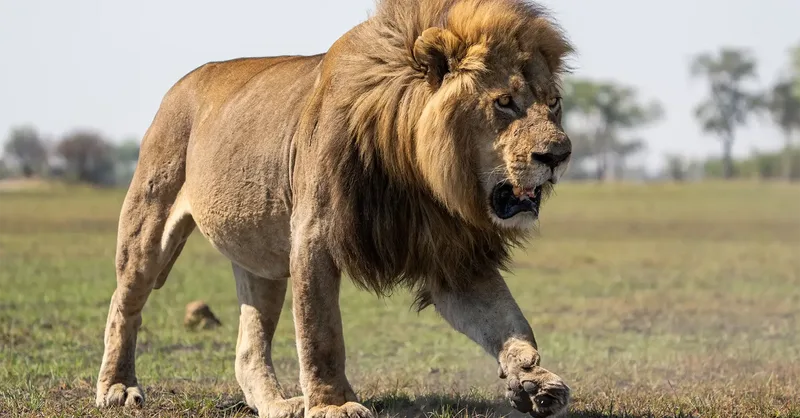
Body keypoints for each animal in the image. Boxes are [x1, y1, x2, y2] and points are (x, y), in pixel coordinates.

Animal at [95, 0, 575, 417]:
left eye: (553, 103)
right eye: (504, 102)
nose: (559, 155)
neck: (417, 172)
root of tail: (181, 83)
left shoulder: (451, 256)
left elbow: (508, 320)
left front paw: (532, 378)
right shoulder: (313, 237)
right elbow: (320, 332)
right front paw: (333, 404)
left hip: (262, 262)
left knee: (250, 346)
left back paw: (278, 404)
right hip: (149, 224)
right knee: (124, 303)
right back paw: (118, 387)